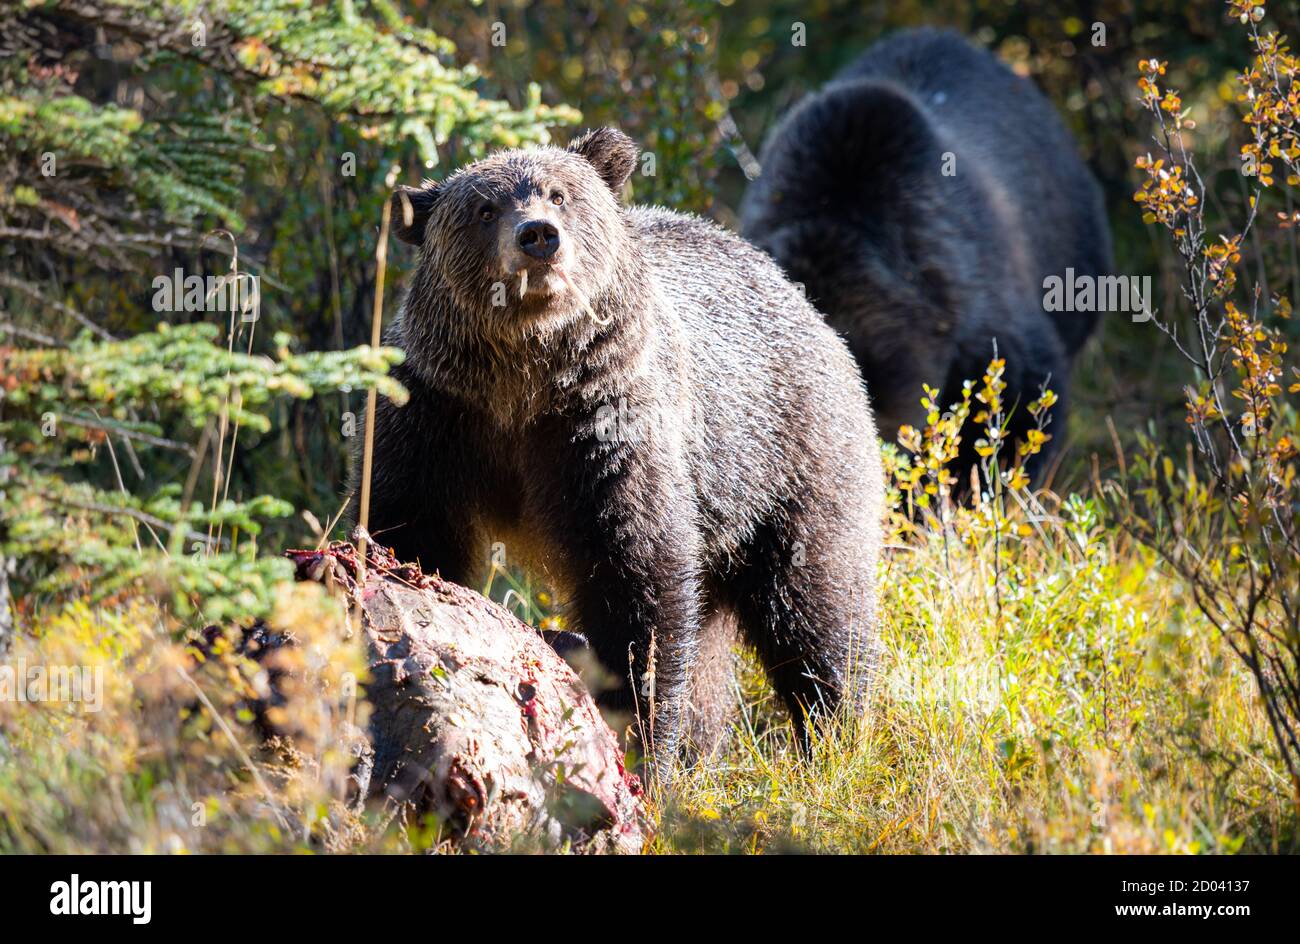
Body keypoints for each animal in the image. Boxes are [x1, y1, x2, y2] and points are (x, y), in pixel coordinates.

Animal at [354, 127, 885, 779]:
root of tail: (800, 298)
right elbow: (413, 529)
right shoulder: (433, 418)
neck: (520, 383)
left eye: (559, 192)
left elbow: (638, 579)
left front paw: (640, 737)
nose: (538, 236)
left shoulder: (606, 428)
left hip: (788, 457)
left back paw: (837, 734)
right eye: (484, 208)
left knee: (816, 606)